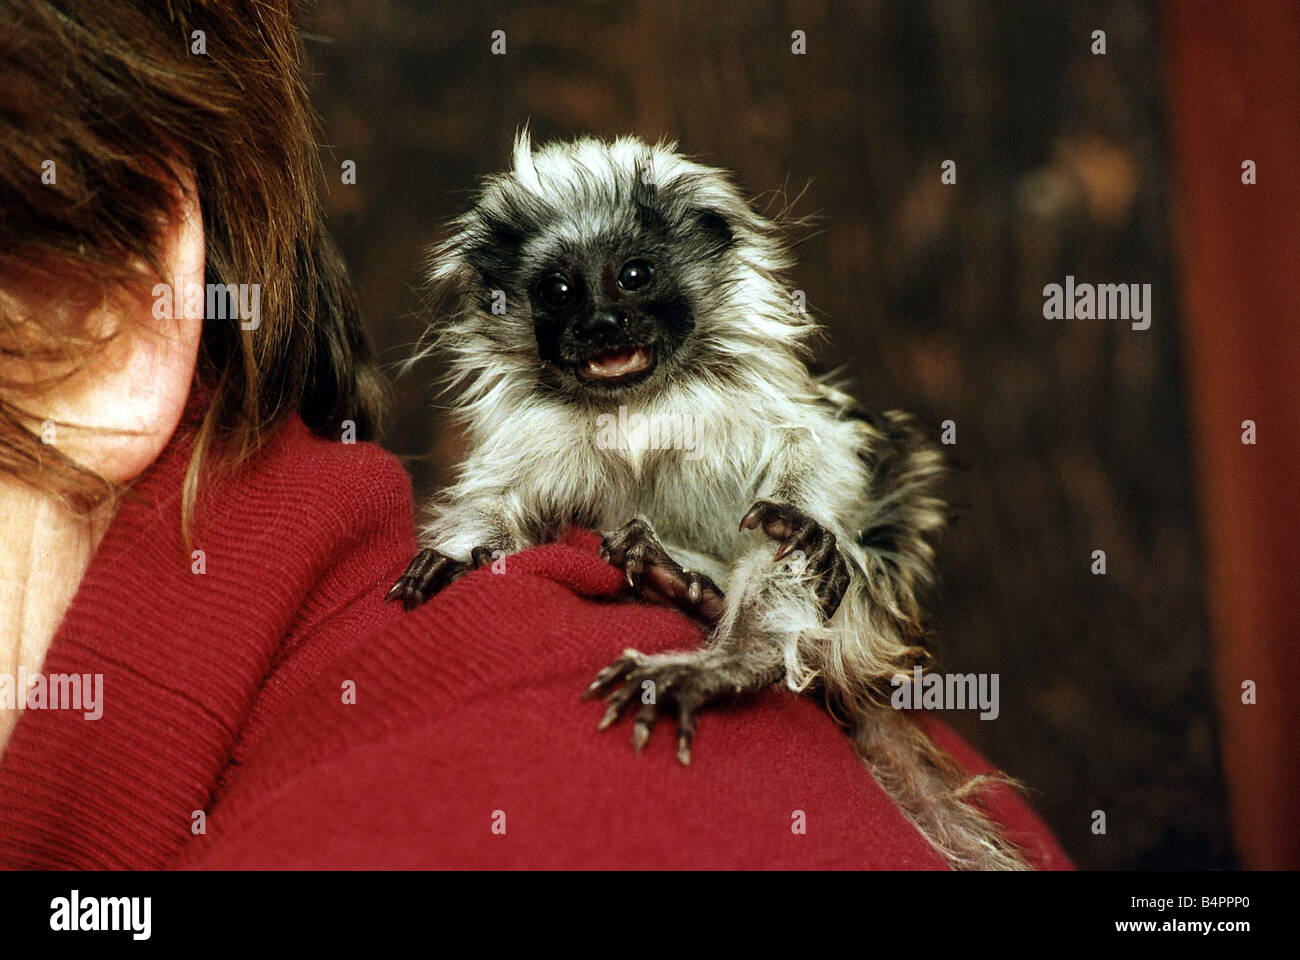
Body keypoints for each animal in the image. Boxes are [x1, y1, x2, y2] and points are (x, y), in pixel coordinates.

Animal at [388, 132, 1031, 870]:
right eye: (558, 291)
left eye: (634, 275)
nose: (602, 324)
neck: (638, 404)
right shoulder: (538, 441)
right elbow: (501, 500)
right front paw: (458, 555)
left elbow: (814, 467)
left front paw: (793, 548)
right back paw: (682, 582)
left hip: (869, 608)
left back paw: (731, 659)